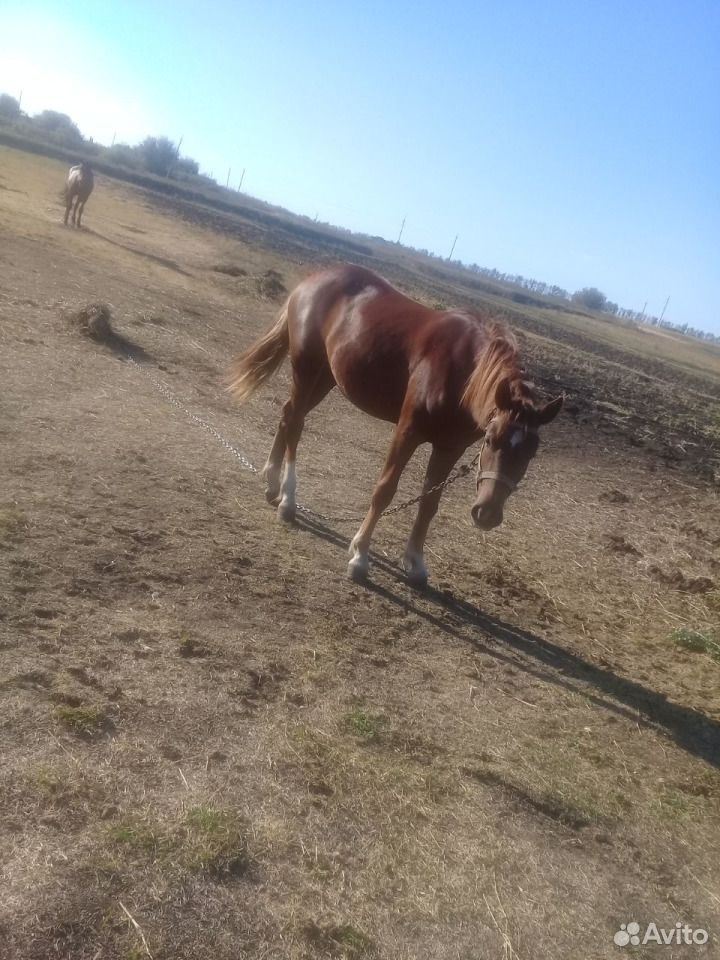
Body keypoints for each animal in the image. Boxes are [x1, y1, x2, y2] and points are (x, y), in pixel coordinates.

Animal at [227, 264, 562, 587]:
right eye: (491, 440)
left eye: (531, 453)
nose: (487, 513)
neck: (463, 372)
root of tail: (313, 279)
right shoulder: (408, 431)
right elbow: (385, 490)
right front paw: (360, 555)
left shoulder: (449, 447)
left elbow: (429, 502)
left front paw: (415, 563)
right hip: (306, 368)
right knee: (296, 423)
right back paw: (288, 500)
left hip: (326, 376)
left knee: (288, 415)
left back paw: (272, 483)